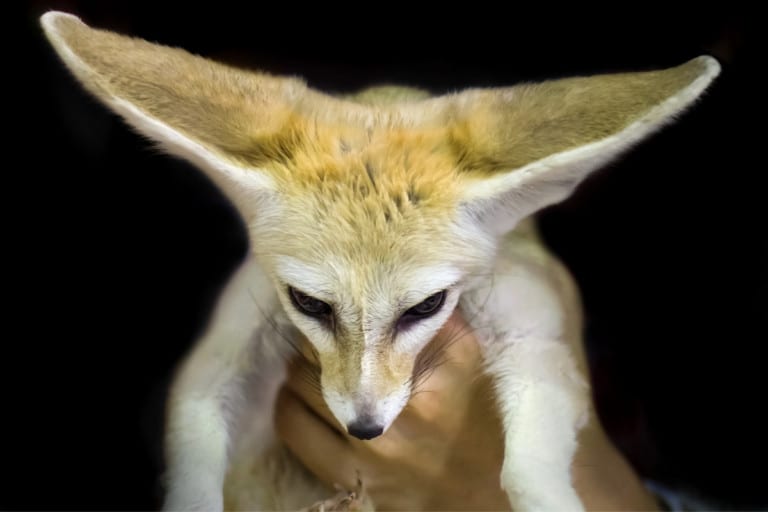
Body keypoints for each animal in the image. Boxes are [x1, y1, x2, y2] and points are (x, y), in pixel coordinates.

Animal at [41, 11, 720, 511]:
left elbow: (527, 476)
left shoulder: (536, 338)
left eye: (427, 306)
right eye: (309, 303)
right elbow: (192, 465)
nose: (364, 428)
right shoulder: (222, 354)